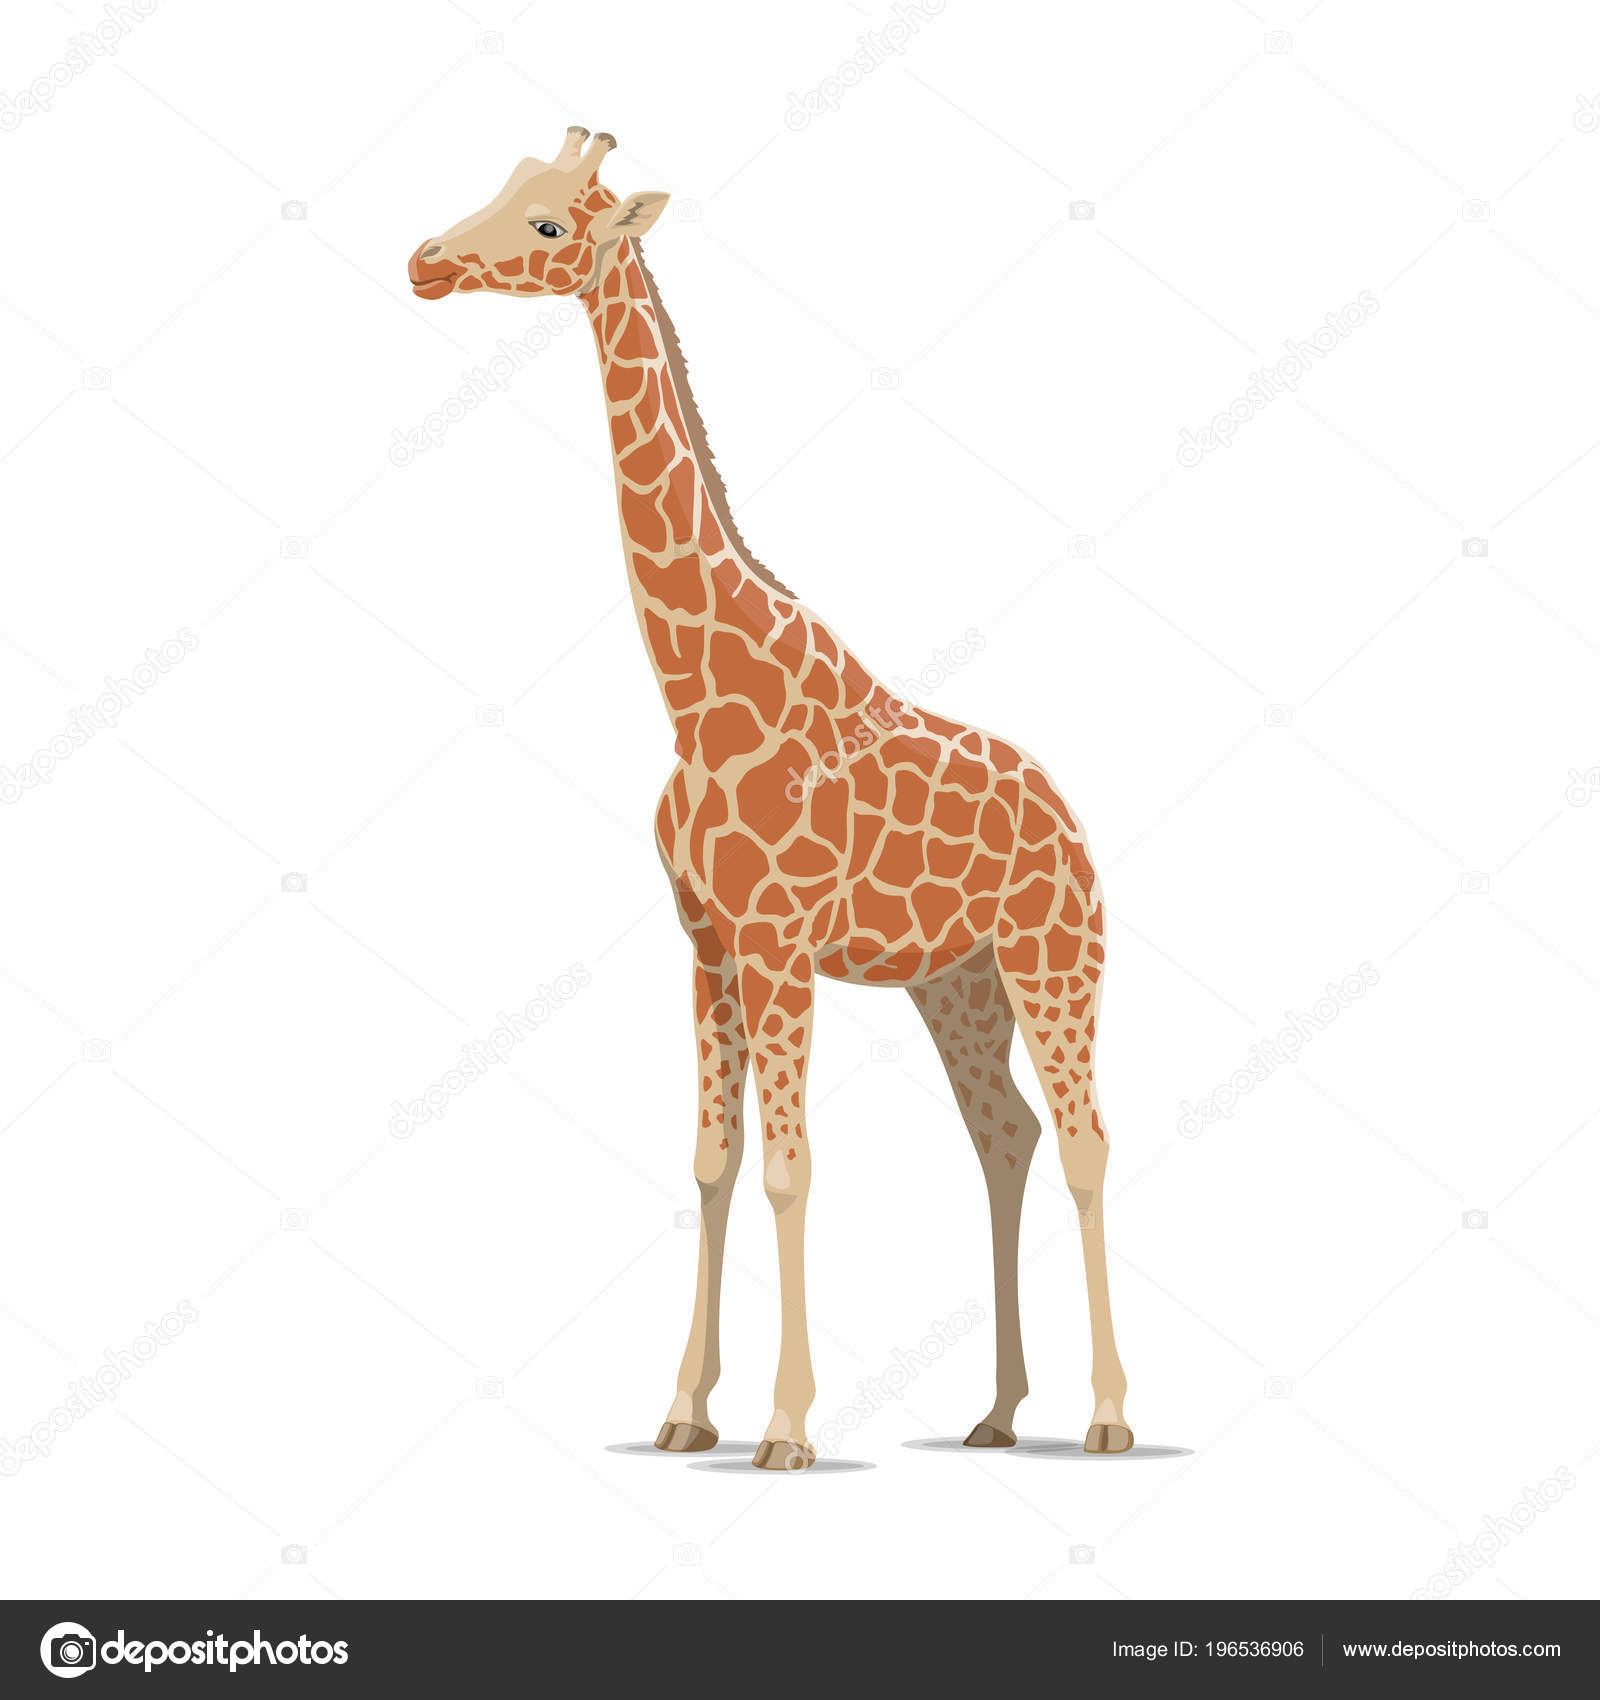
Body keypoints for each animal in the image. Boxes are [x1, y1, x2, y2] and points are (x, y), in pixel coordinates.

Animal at [409, 128, 1133, 1470]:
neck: (698, 692)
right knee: (1001, 1138)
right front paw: (686, 1410)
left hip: (1052, 957)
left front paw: (788, 1429)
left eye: (549, 224)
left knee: (1081, 1141)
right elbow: (712, 1156)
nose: (426, 259)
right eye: (505, 185)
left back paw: (1107, 1414)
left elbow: (791, 1167)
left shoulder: (780, 938)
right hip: (954, 984)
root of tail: (1069, 816)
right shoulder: (707, 941)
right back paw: (998, 1412)